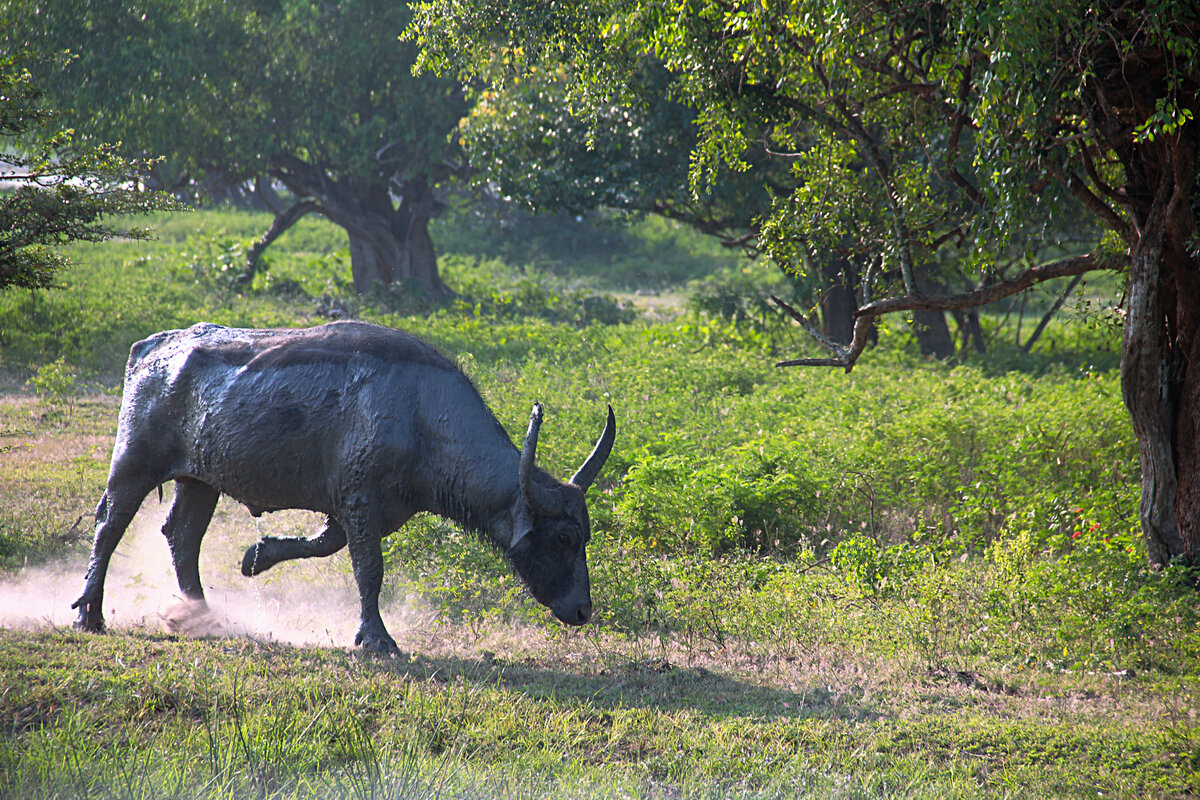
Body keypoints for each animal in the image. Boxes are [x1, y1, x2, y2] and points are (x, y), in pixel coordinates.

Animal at [72, 319, 619, 652]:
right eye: (566, 538)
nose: (582, 610)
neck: (420, 414)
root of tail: (152, 348)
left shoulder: (359, 511)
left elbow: (323, 544)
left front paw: (258, 555)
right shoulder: (360, 504)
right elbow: (368, 570)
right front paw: (377, 639)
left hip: (199, 480)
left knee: (183, 536)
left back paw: (202, 615)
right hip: (134, 465)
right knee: (109, 527)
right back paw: (89, 614)